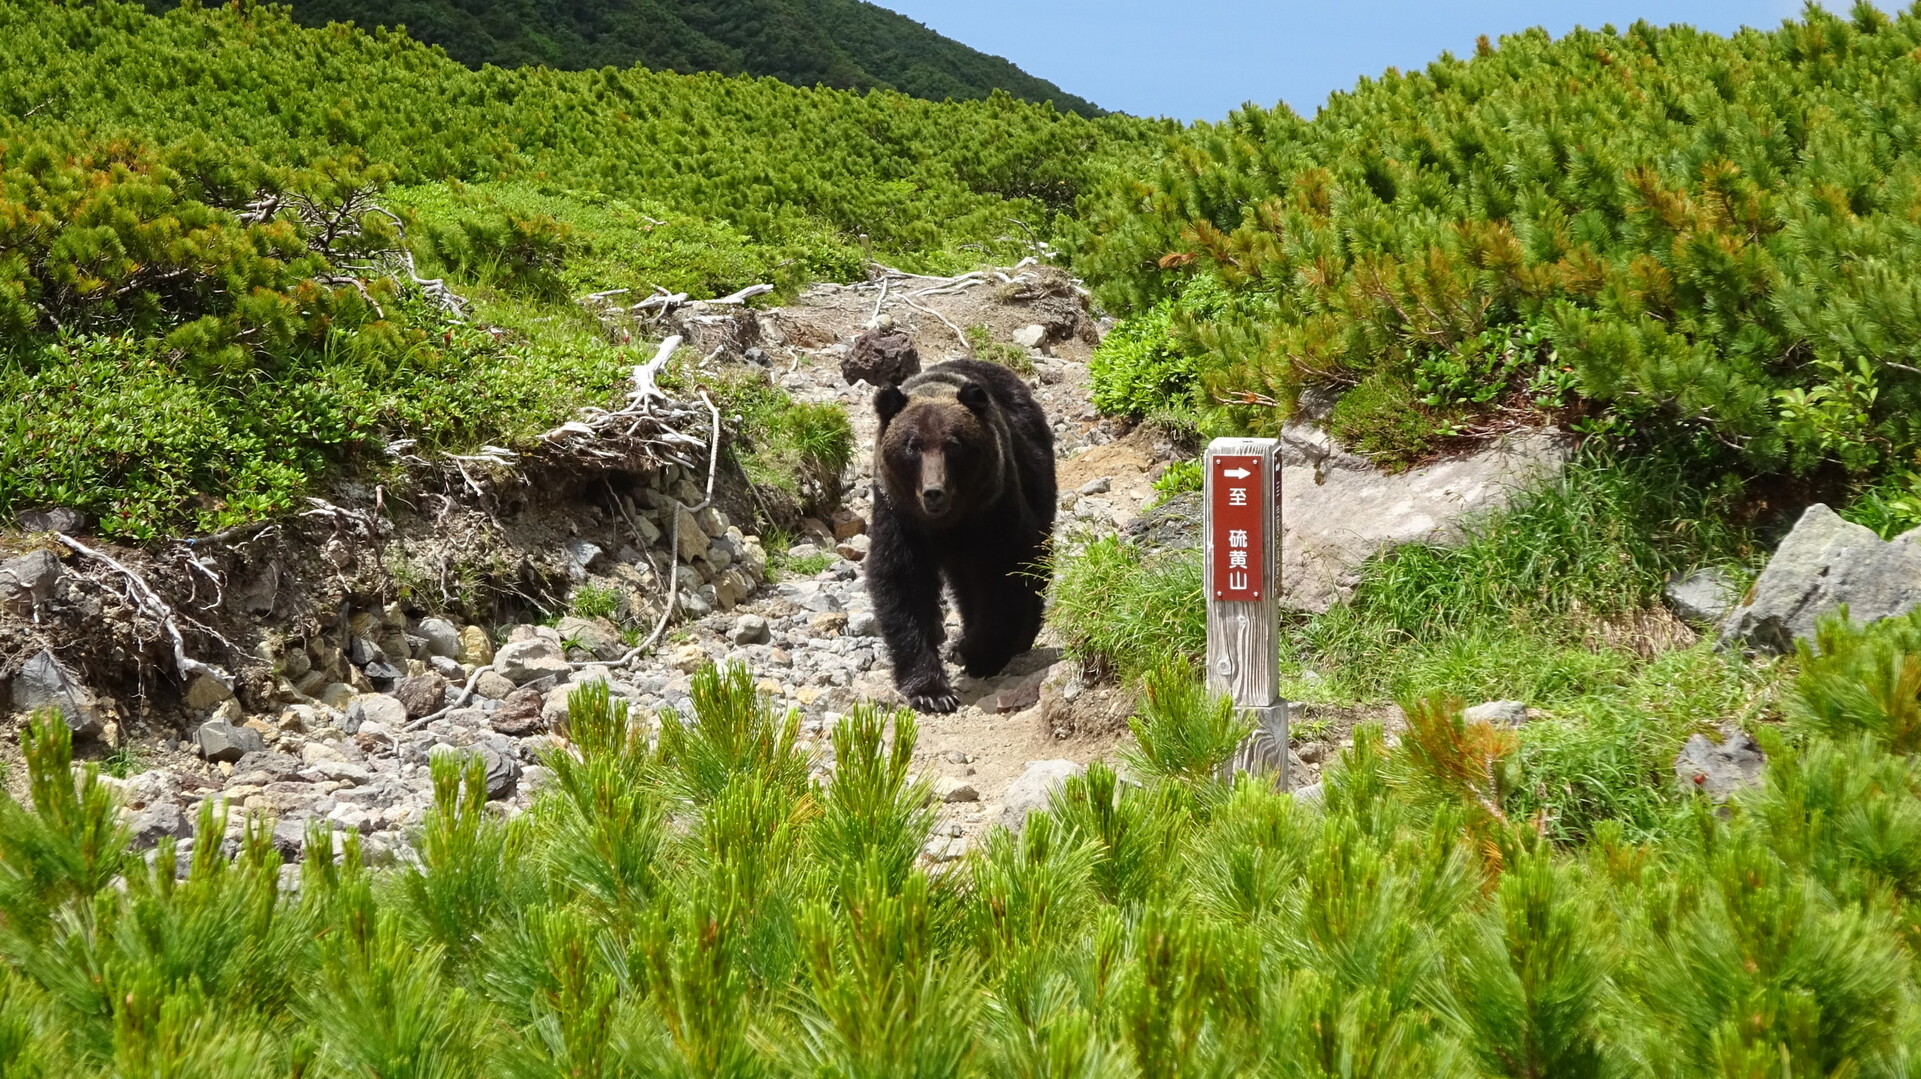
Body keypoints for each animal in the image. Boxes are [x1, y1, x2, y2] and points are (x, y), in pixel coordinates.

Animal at [866, 358, 1056, 712]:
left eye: (953, 444)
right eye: (912, 445)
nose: (933, 492)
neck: (948, 522)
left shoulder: (993, 507)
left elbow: (1007, 571)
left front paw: (979, 653)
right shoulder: (899, 515)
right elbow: (901, 583)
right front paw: (931, 691)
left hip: (1035, 471)